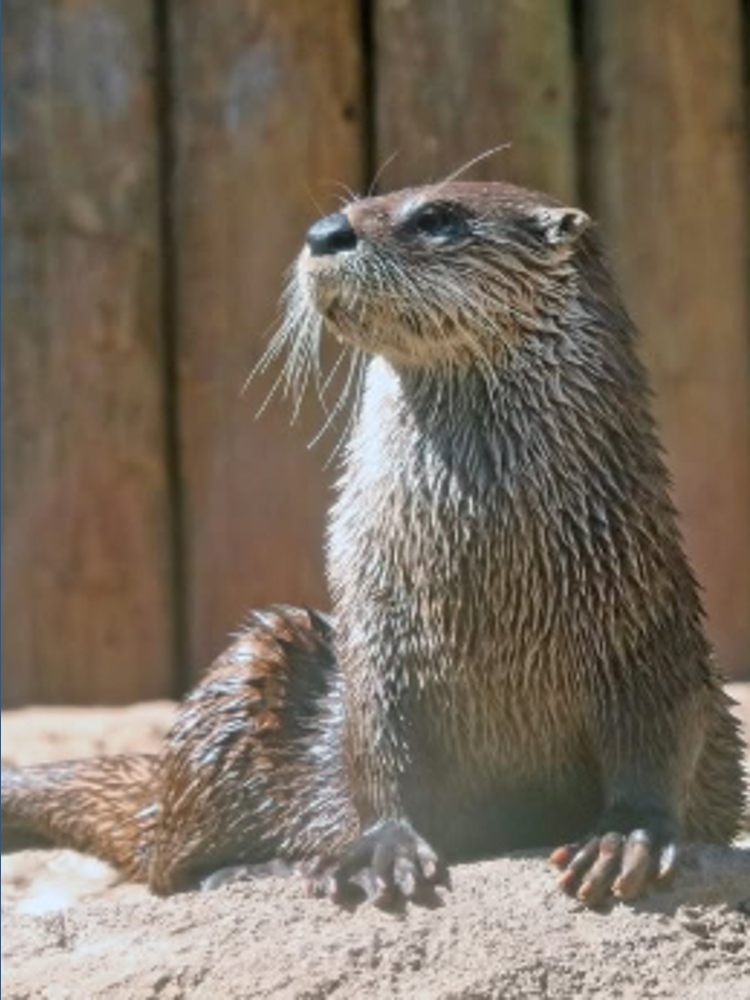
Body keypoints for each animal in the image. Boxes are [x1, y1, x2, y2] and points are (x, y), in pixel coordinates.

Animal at [2, 181, 746, 908]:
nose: (326, 231)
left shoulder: (648, 622)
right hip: (245, 669)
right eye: (363, 200)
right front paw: (381, 849)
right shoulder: (375, 631)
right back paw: (259, 869)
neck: (484, 590)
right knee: (164, 861)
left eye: (437, 216)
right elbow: (376, 749)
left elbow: (660, 736)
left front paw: (624, 839)